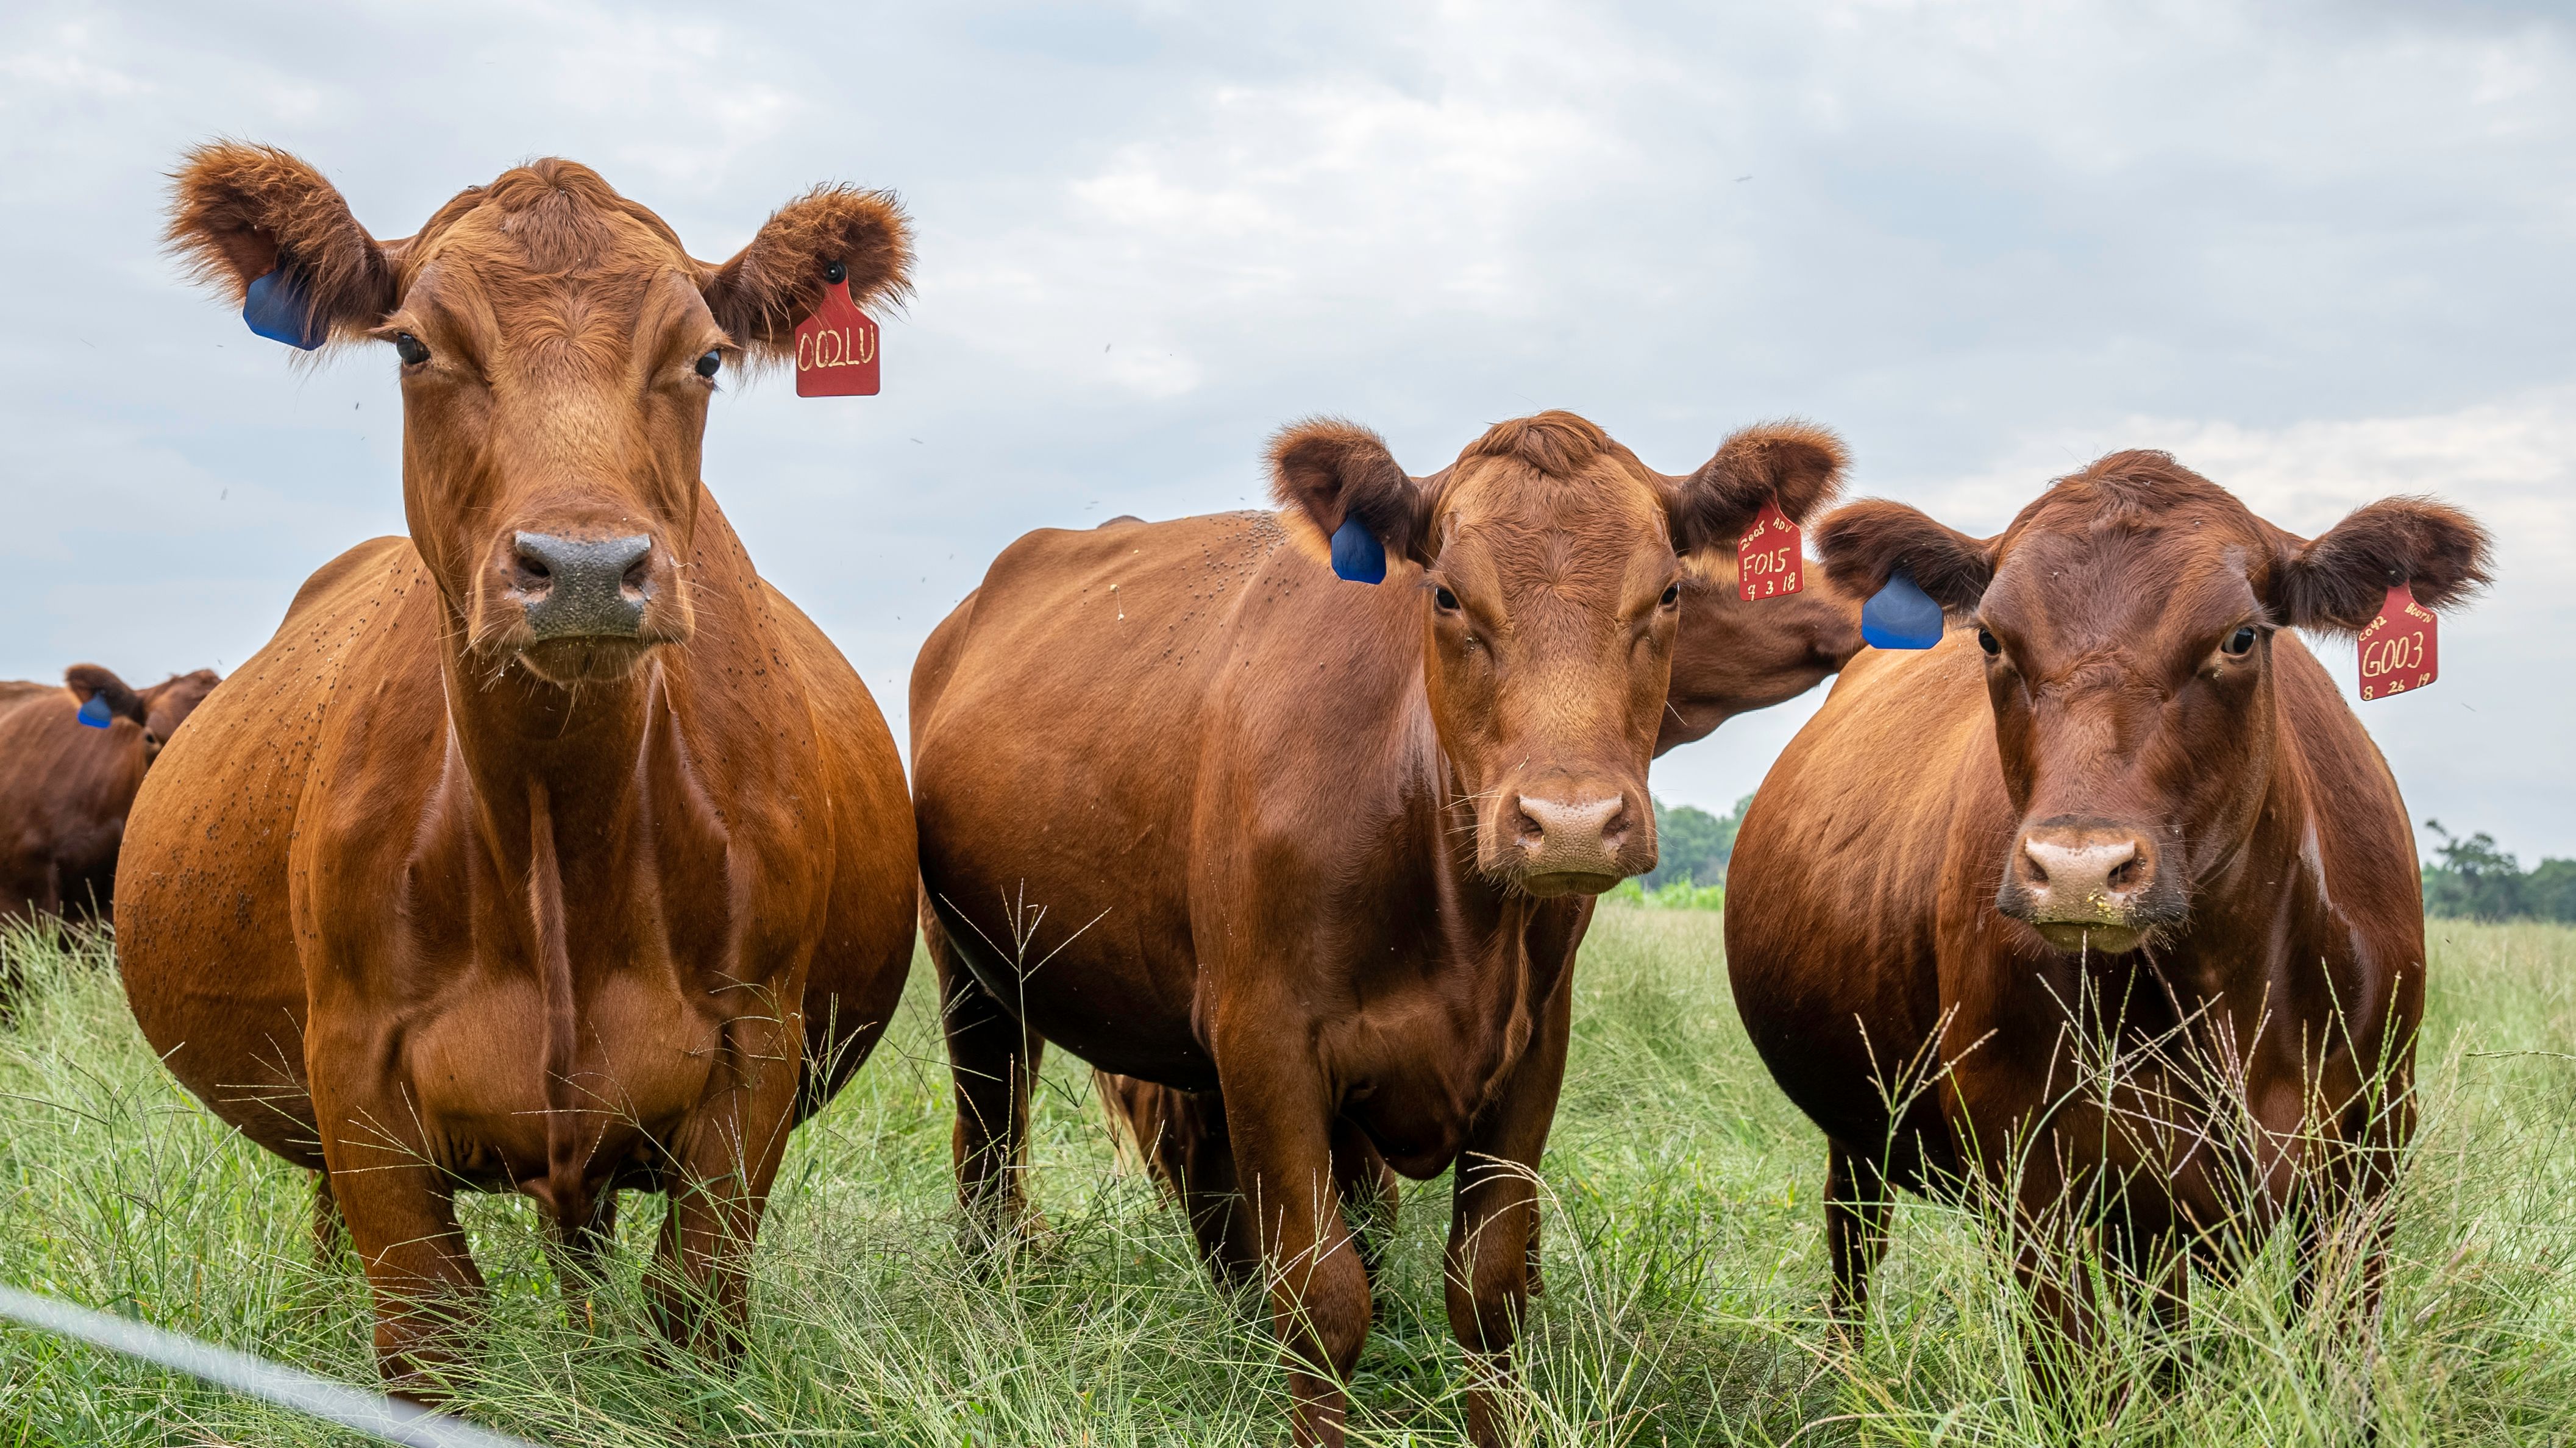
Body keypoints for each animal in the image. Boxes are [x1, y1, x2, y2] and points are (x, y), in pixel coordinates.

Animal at [117, 143, 920, 1392]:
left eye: (704, 356)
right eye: (412, 345)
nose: (586, 567)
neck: (556, 822)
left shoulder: (755, 1056)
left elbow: (694, 1311)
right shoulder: (355, 1072)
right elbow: (430, 1329)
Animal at [909, 410, 1847, 1446]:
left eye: (1670, 590)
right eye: (1445, 594)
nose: (1569, 822)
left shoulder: (1531, 1050)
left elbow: (1486, 1287)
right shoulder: (1268, 1043)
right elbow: (1325, 1298)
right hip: (974, 980)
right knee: (989, 1145)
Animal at [1723, 449, 2490, 1394]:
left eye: (2240, 637)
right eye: (1990, 639)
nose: (2079, 871)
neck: (2221, 993)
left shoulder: (2372, 1151)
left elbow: (2331, 1366)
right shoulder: (2027, 1168)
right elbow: (2078, 1384)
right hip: (1862, 1129)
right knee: (1854, 1246)